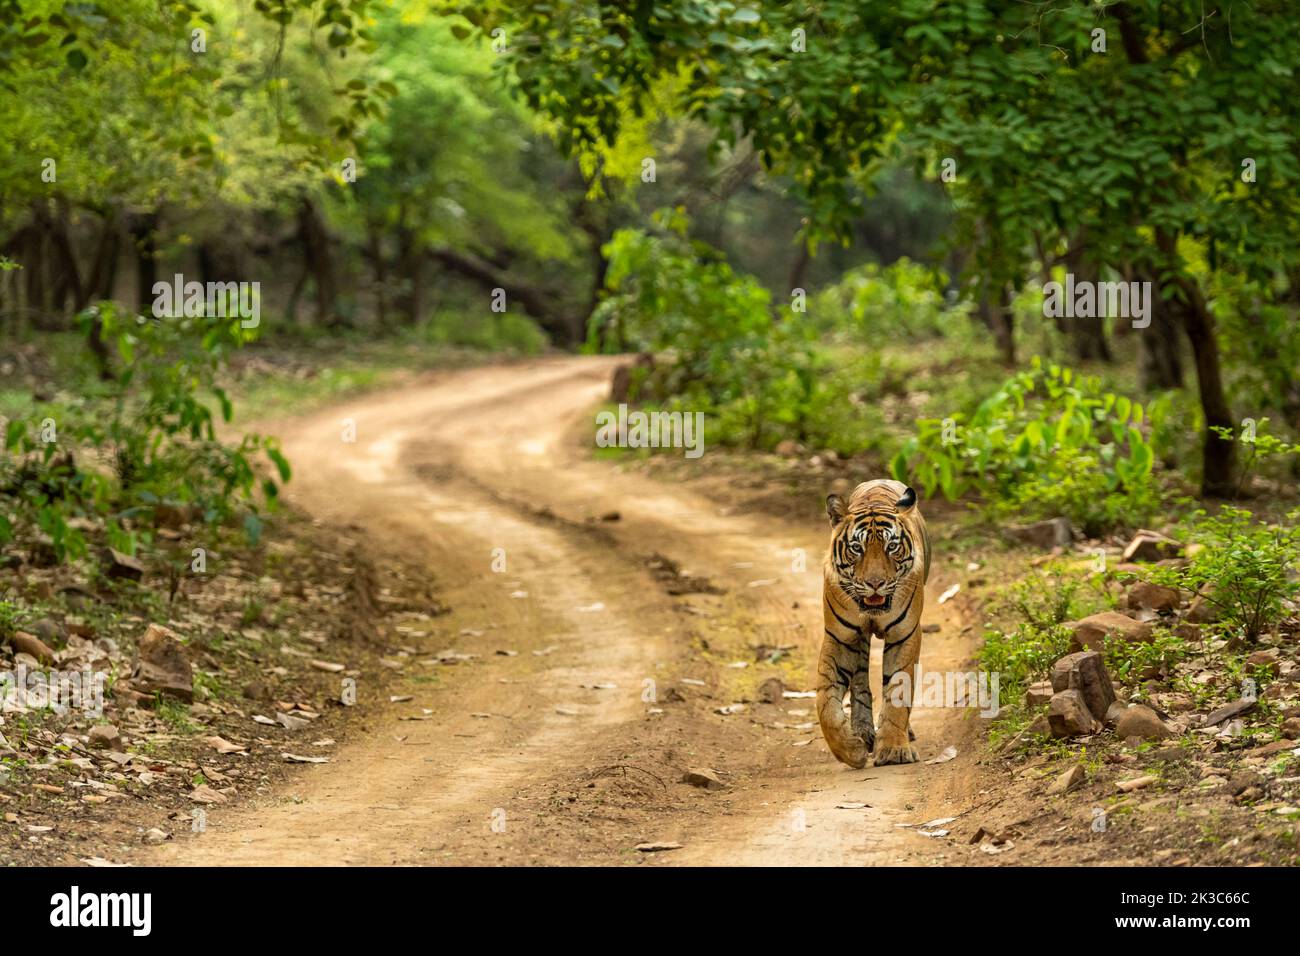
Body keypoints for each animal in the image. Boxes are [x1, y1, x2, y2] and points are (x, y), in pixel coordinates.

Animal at [816, 478, 931, 768]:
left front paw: (893, 750)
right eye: (857, 548)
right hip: (858, 640)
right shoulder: (839, 637)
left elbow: (898, 690)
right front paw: (850, 751)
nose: (875, 583)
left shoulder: (905, 635)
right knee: (859, 681)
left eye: (892, 547)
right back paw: (863, 732)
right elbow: (825, 700)